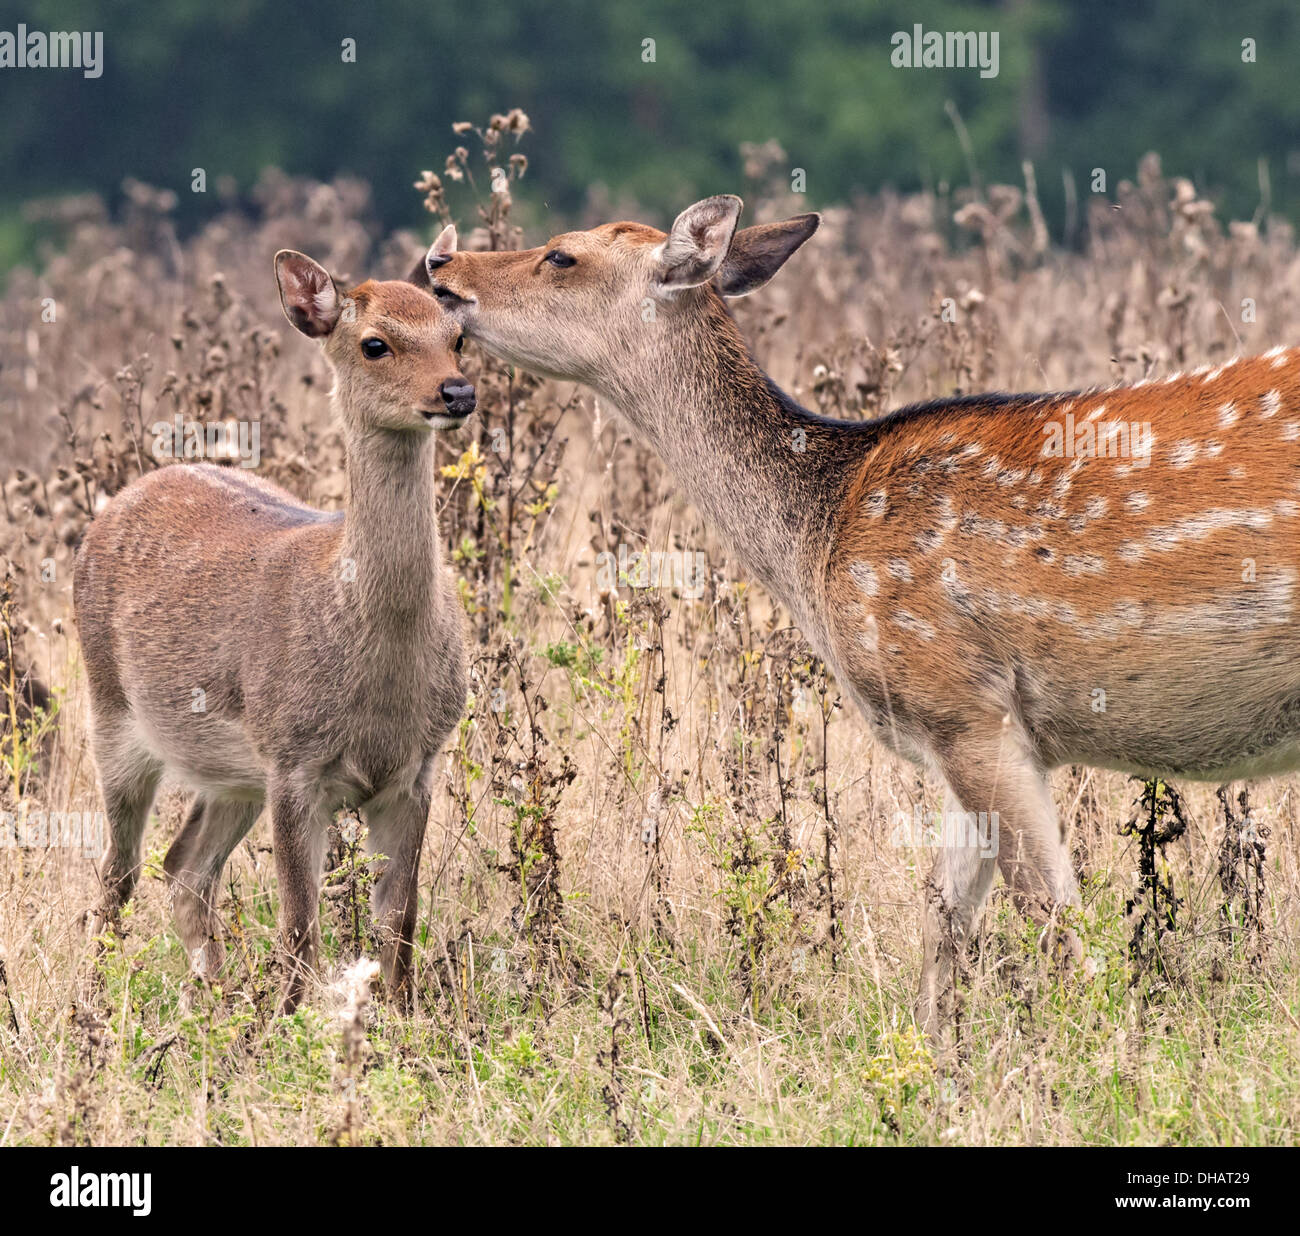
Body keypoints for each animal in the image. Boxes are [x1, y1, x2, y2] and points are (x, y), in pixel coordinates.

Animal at [75, 246, 475, 1012]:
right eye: (374, 343)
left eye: (459, 335)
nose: (457, 392)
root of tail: (127, 492)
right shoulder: (293, 761)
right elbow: (300, 926)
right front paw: (288, 1025)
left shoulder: (419, 767)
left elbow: (399, 920)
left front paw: (406, 1022)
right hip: (111, 712)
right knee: (118, 869)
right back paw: (97, 1000)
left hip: (231, 775)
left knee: (184, 867)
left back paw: (212, 996)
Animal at [416, 195, 1300, 1037]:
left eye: (562, 254)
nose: (439, 263)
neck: (819, 539)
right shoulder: (963, 733)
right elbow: (943, 932)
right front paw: (933, 1058)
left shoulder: (960, 700)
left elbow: (1054, 926)